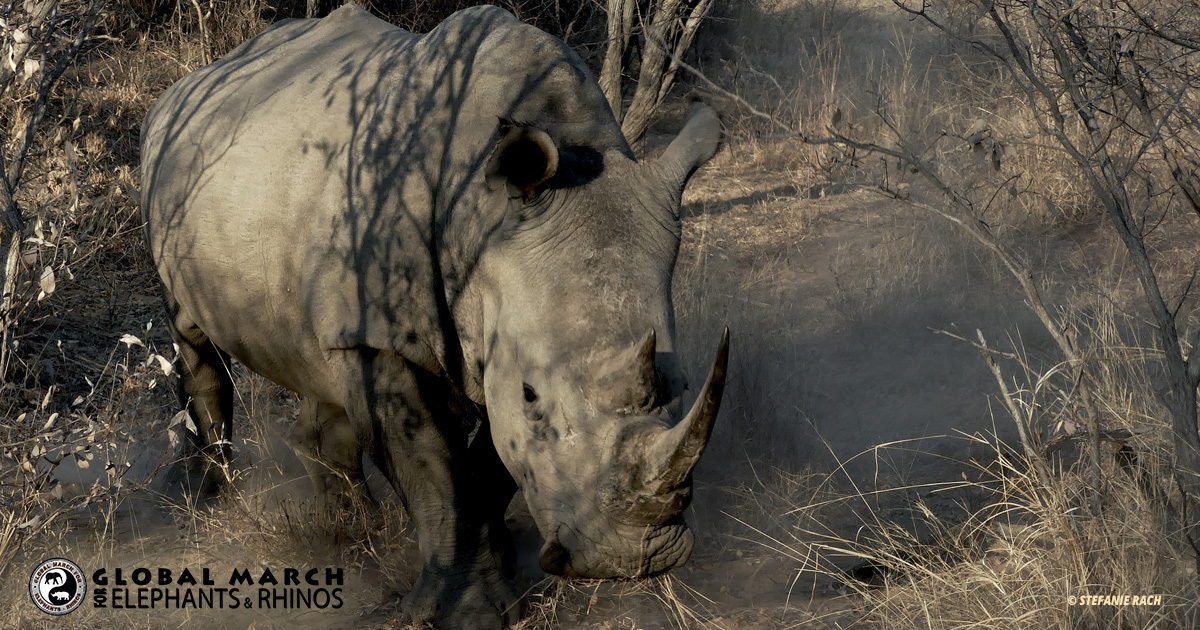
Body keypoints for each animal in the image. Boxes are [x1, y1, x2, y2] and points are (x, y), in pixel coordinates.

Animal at [141, 5, 728, 628]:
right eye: (532, 395)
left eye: (682, 385)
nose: (633, 558)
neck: (483, 213)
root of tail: (181, 89)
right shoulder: (383, 335)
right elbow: (435, 470)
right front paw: (467, 612)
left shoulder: (480, 327)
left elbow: (487, 467)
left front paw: (503, 569)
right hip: (168, 169)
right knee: (192, 337)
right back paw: (213, 496)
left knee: (319, 358)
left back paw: (351, 529)